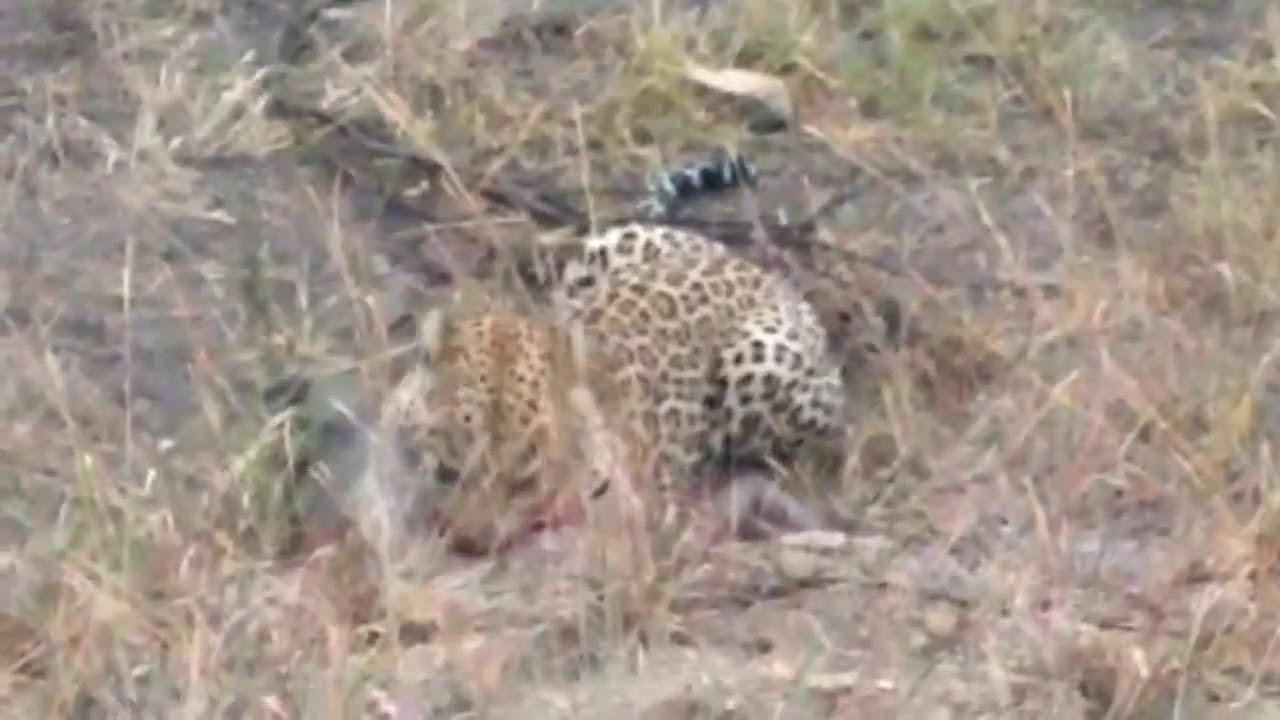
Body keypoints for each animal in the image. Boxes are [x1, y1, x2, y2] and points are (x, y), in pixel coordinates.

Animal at [400, 221, 850, 555]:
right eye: (449, 469)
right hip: (607, 246)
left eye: (525, 480)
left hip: (762, 363)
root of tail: (757, 271)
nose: (467, 542)